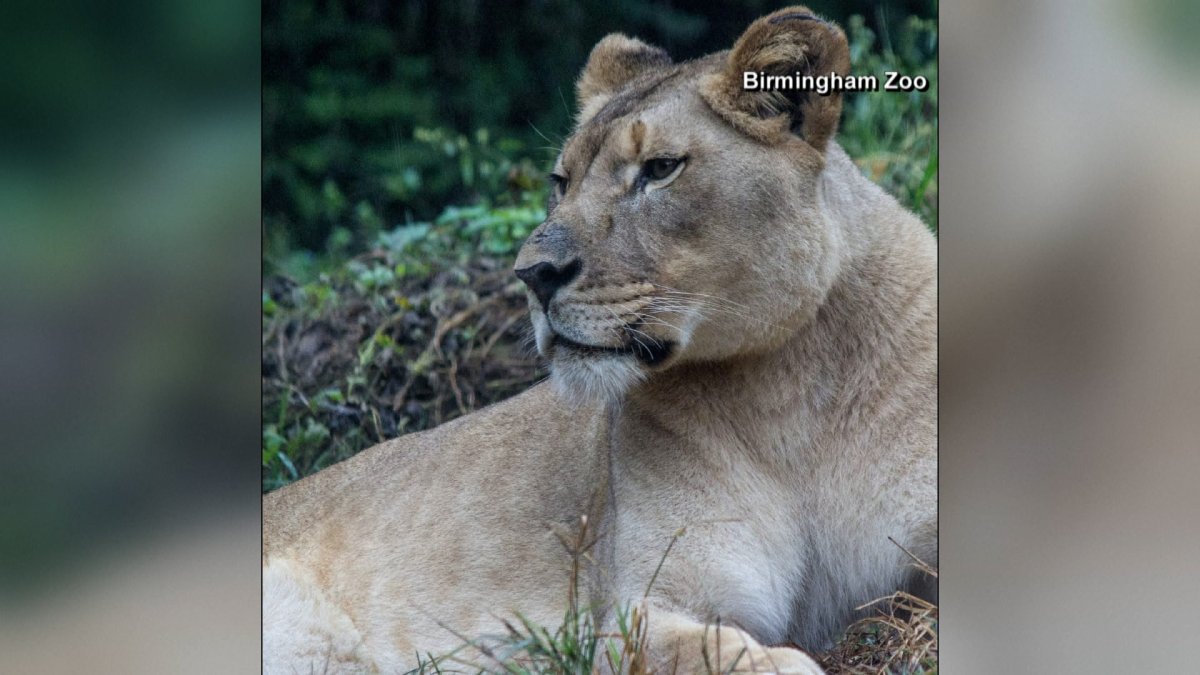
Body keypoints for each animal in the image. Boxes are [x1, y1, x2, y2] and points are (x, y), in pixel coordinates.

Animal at [264, 7, 936, 674]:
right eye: (562, 181)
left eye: (660, 169)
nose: (533, 274)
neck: (792, 395)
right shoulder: (636, 612)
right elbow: (758, 659)